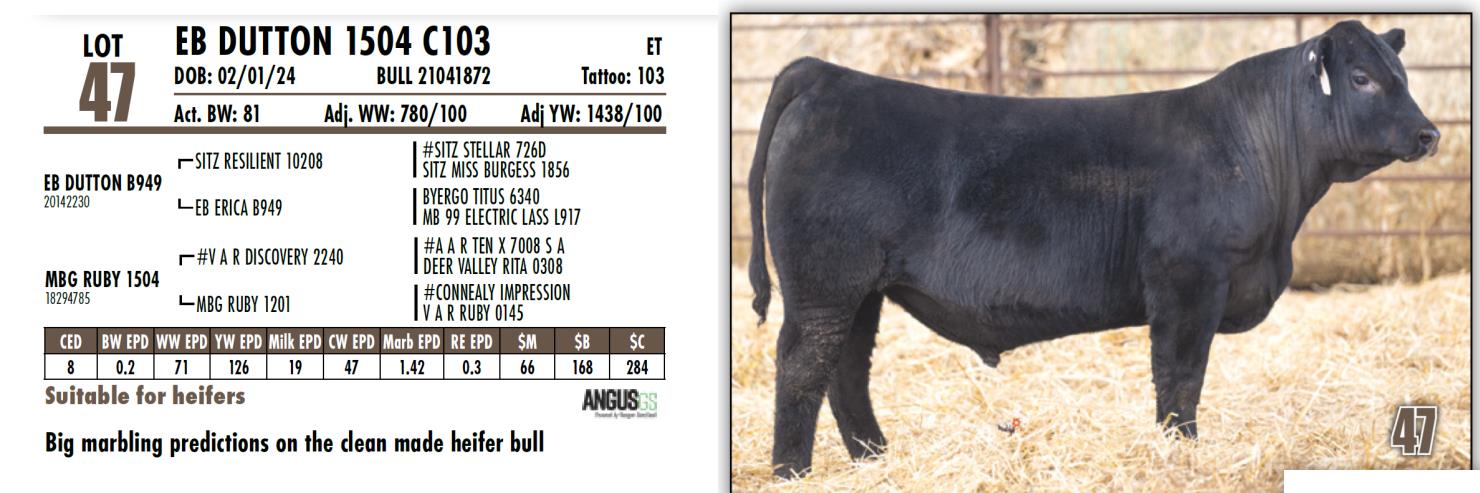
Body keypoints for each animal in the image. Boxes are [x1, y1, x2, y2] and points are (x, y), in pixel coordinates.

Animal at [747, 21, 1439, 478]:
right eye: (1361, 78)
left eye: (1402, 76)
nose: (1430, 134)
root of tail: (825, 73)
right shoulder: (1187, 285)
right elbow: (1180, 379)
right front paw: (1179, 453)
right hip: (824, 284)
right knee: (802, 367)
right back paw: (792, 472)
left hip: (861, 290)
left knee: (847, 371)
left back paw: (876, 460)